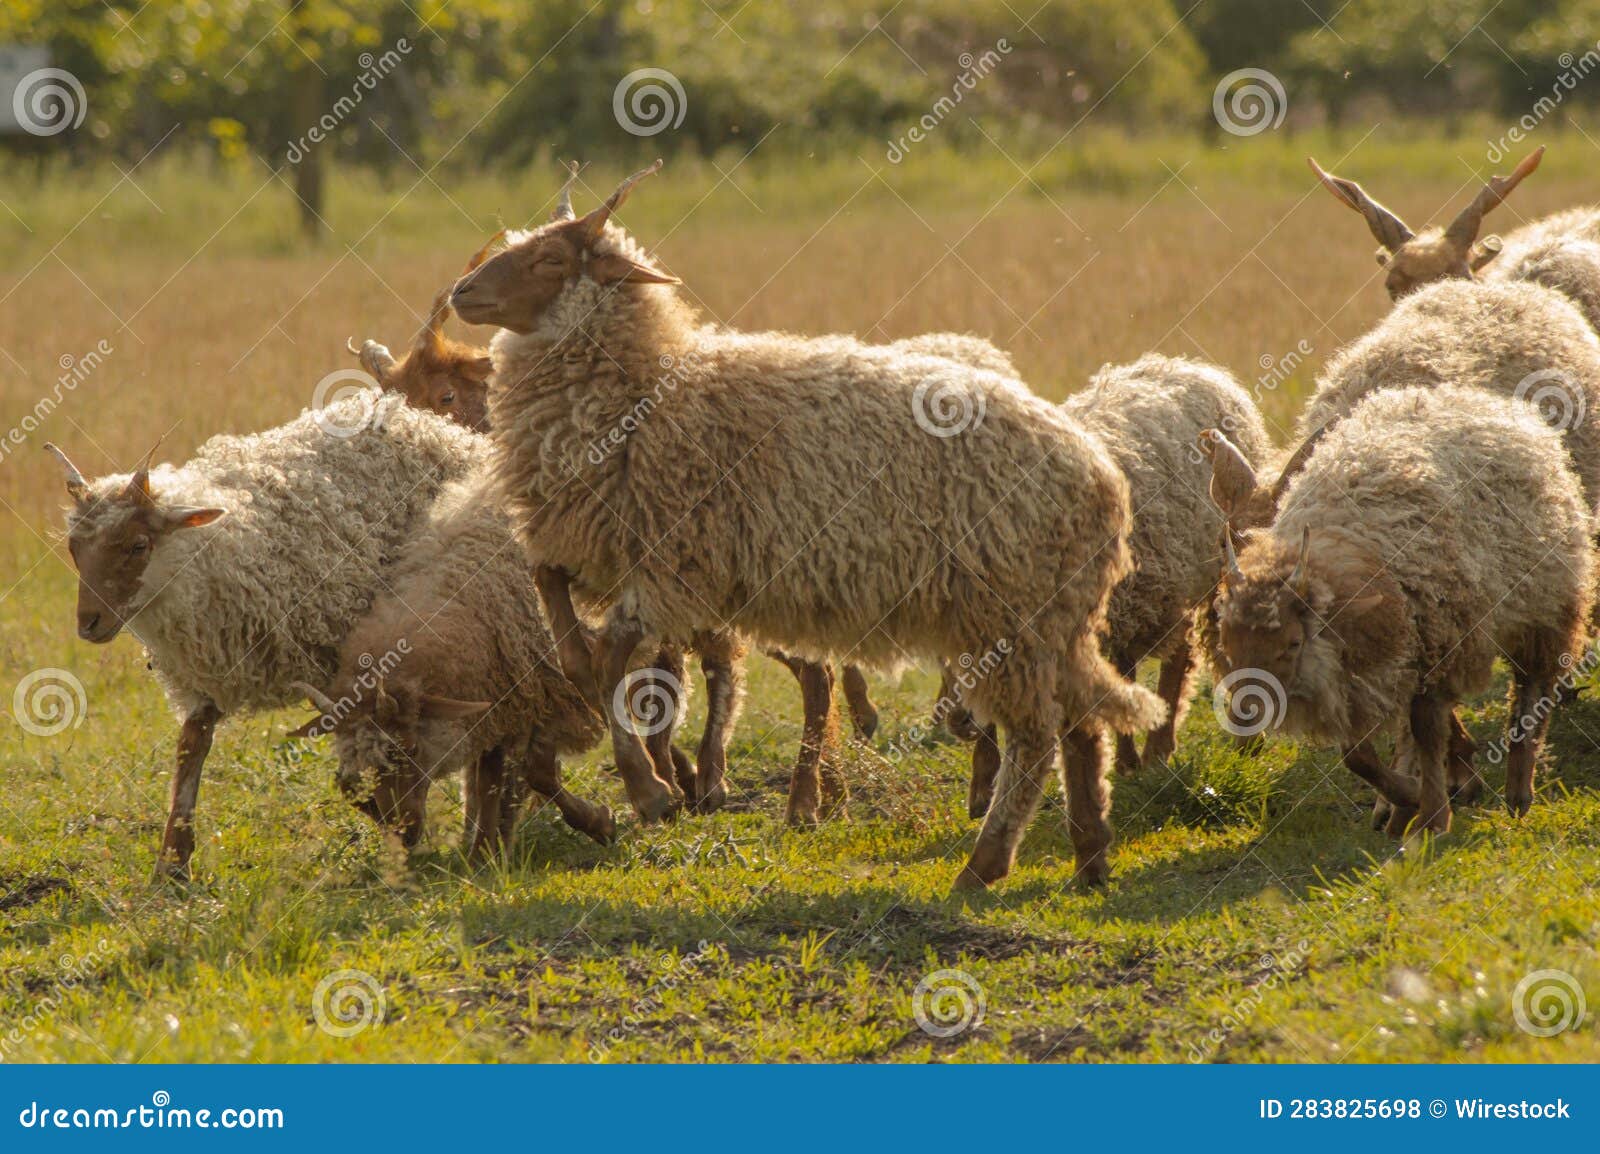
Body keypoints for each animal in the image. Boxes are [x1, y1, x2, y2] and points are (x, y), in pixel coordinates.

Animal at [45, 395, 478, 878]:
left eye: (138, 546)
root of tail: (415, 417)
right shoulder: (205, 670)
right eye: (74, 550)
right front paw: (173, 862)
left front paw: (395, 820)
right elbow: (191, 746)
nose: (88, 623)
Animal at [288, 465, 612, 856]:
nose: (403, 835)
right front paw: (483, 852)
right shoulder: (496, 702)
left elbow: (533, 773)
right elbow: (492, 780)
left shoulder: (538, 693)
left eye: (408, 750)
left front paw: (598, 823)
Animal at [452, 160, 1166, 891]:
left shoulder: (676, 565)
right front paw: (652, 783)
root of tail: (1104, 482)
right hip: (1046, 621)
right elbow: (564, 622)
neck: (646, 389)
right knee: (1083, 728)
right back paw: (1089, 858)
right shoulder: (593, 543)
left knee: (1035, 738)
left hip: (1009, 617)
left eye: (548, 258)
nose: (461, 292)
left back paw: (984, 865)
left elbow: (609, 660)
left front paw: (650, 791)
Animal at [952, 355, 1272, 818]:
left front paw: (1136, 760)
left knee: (1181, 656)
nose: (957, 722)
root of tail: (1185, 365)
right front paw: (983, 786)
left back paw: (1164, 747)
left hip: (1192, 575)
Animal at [1208, 385, 1594, 836]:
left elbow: (1426, 731)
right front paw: (1408, 796)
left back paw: (1518, 786)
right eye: (1228, 644)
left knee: (1532, 689)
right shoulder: (1361, 672)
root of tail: (1477, 398)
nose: (1245, 717)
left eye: (1292, 644)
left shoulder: (1438, 647)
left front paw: (1432, 814)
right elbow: (1358, 755)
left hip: (1546, 605)